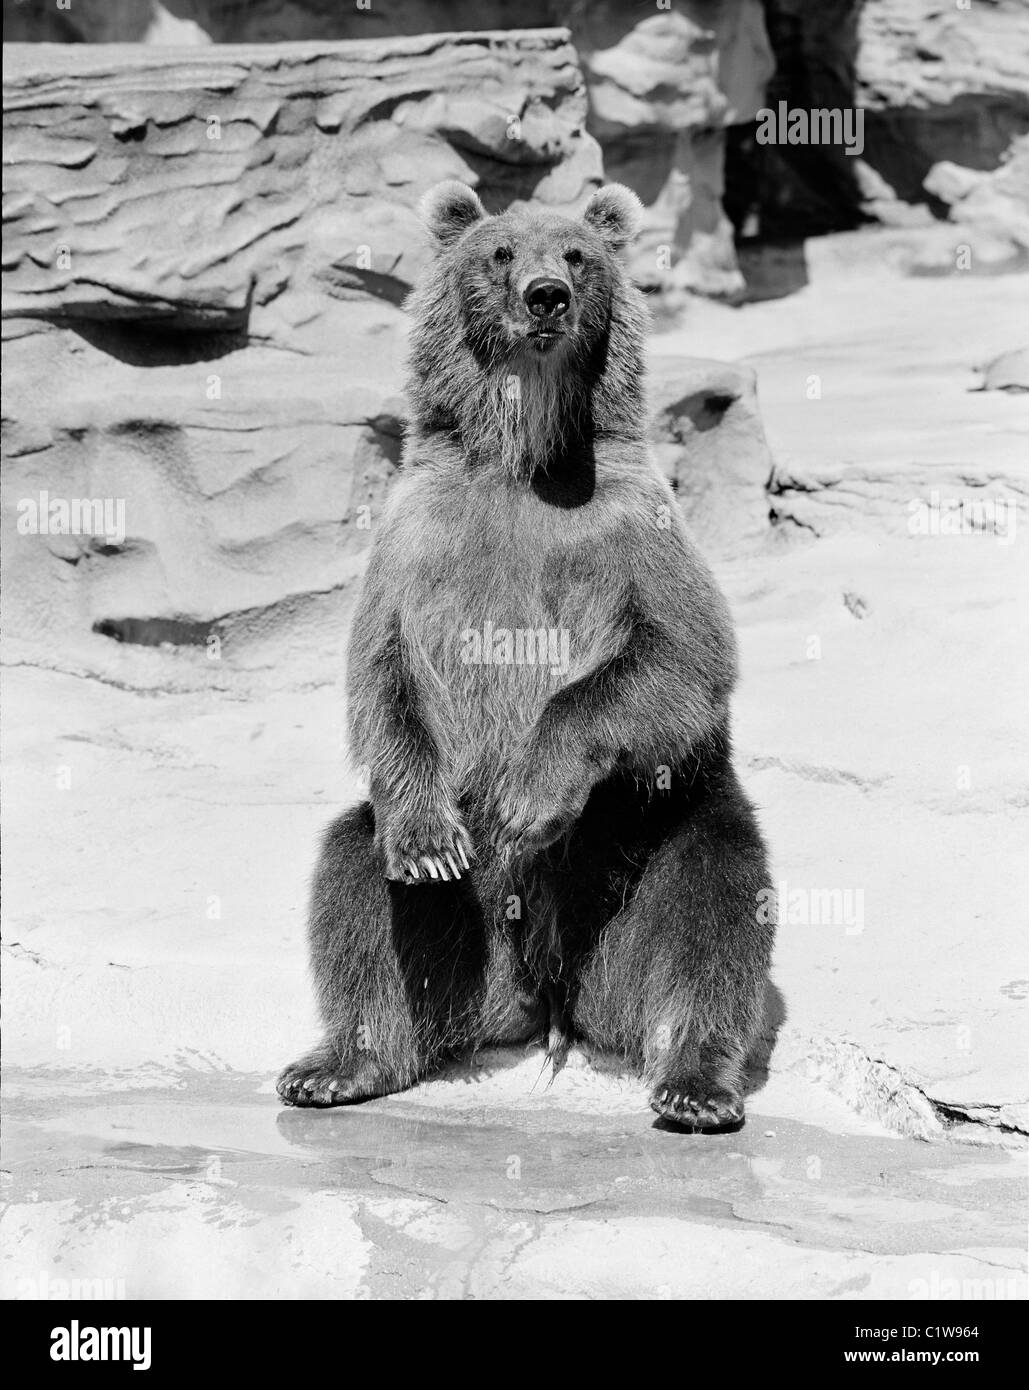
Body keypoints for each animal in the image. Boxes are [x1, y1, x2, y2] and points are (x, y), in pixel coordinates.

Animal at [277, 180, 774, 1130]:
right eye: (500, 252)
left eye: (577, 253)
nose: (547, 295)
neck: (525, 456)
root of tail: (540, 996)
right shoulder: (418, 535)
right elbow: (382, 674)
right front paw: (430, 843)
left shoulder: (631, 526)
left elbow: (682, 654)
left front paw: (527, 795)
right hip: (462, 918)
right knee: (356, 882)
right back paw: (339, 1063)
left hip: (638, 847)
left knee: (712, 899)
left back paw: (694, 1085)